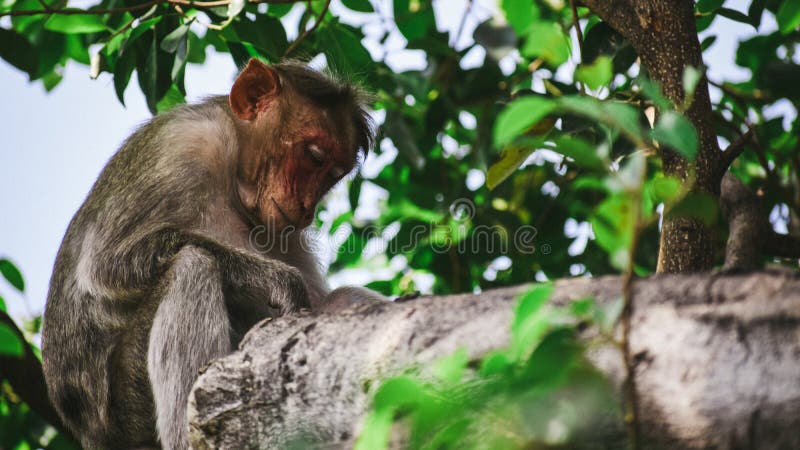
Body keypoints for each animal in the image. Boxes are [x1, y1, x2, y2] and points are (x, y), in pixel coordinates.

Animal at [41, 58, 385, 450]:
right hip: (128, 412)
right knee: (193, 263)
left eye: (334, 174)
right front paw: (275, 279)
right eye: (314, 156)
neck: (233, 170)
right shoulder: (182, 145)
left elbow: (317, 302)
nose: (307, 209)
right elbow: (105, 264)